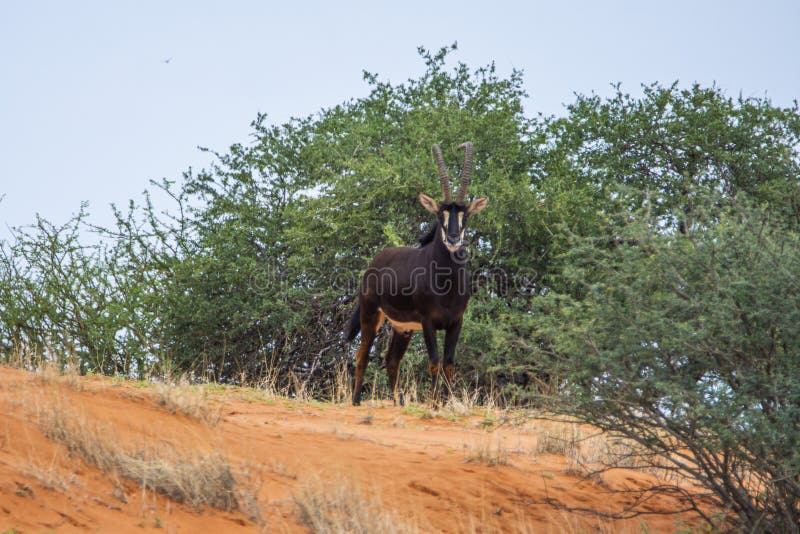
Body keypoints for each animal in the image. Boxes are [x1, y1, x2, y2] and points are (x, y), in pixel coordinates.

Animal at [345, 142, 488, 406]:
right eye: (440, 214)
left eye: (465, 215)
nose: (453, 239)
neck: (446, 282)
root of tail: (375, 262)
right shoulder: (428, 322)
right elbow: (434, 363)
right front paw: (434, 403)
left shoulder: (456, 322)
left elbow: (449, 364)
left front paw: (448, 403)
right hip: (371, 314)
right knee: (362, 355)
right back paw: (356, 400)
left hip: (403, 328)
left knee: (391, 360)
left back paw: (397, 402)